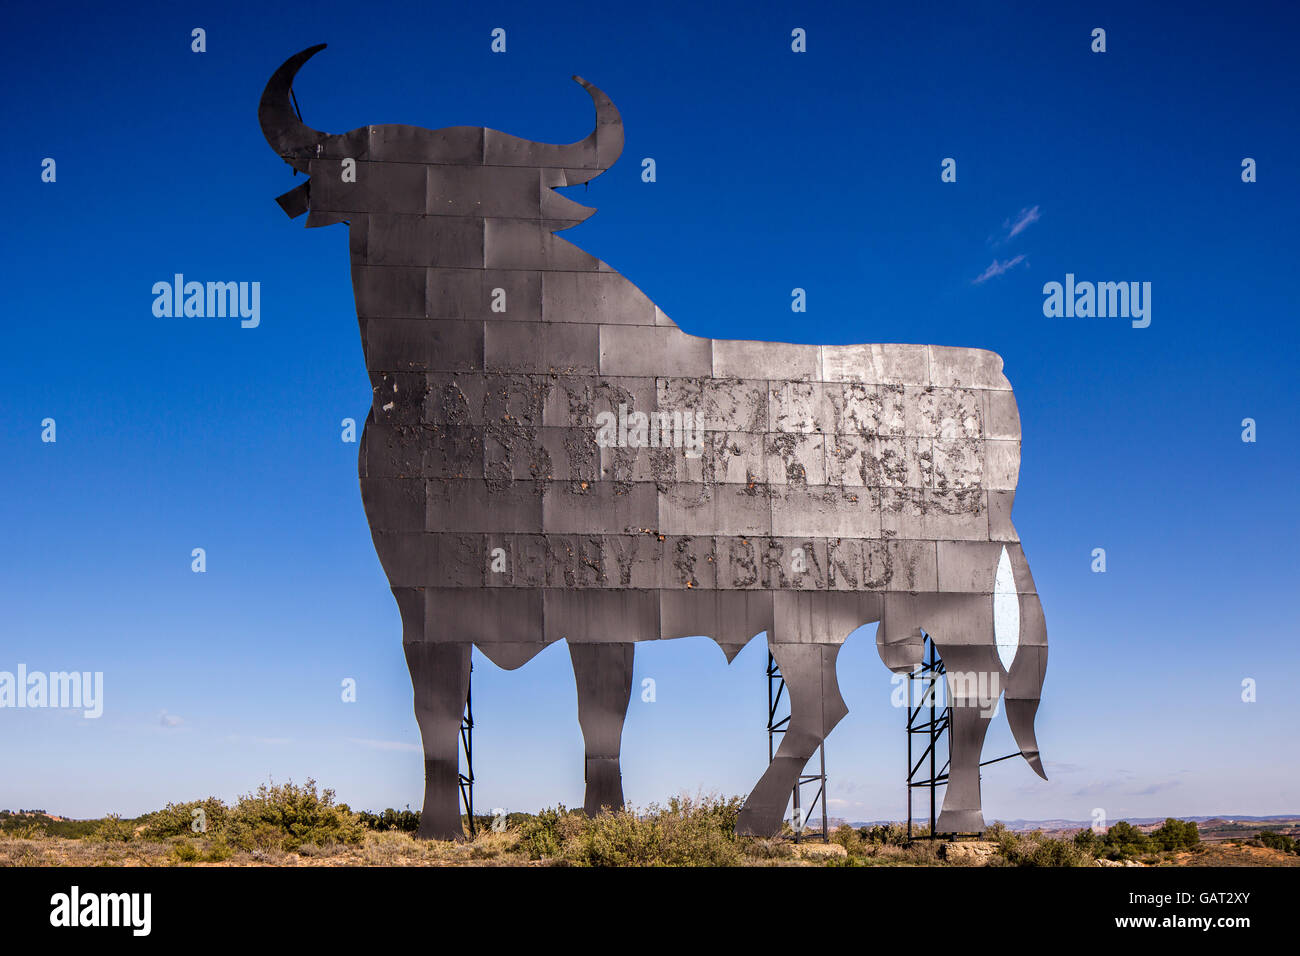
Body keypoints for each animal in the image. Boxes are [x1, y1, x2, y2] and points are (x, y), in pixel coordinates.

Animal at [259, 45, 1048, 841]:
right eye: (365, 173)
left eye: (496, 195)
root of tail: (997, 378)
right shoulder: (433, 602)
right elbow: (456, 715)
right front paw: (461, 827)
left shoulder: (587, 600)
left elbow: (591, 713)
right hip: (844, 616)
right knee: (884, 698)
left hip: (915, 601)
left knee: (933, 693)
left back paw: (850, 820)